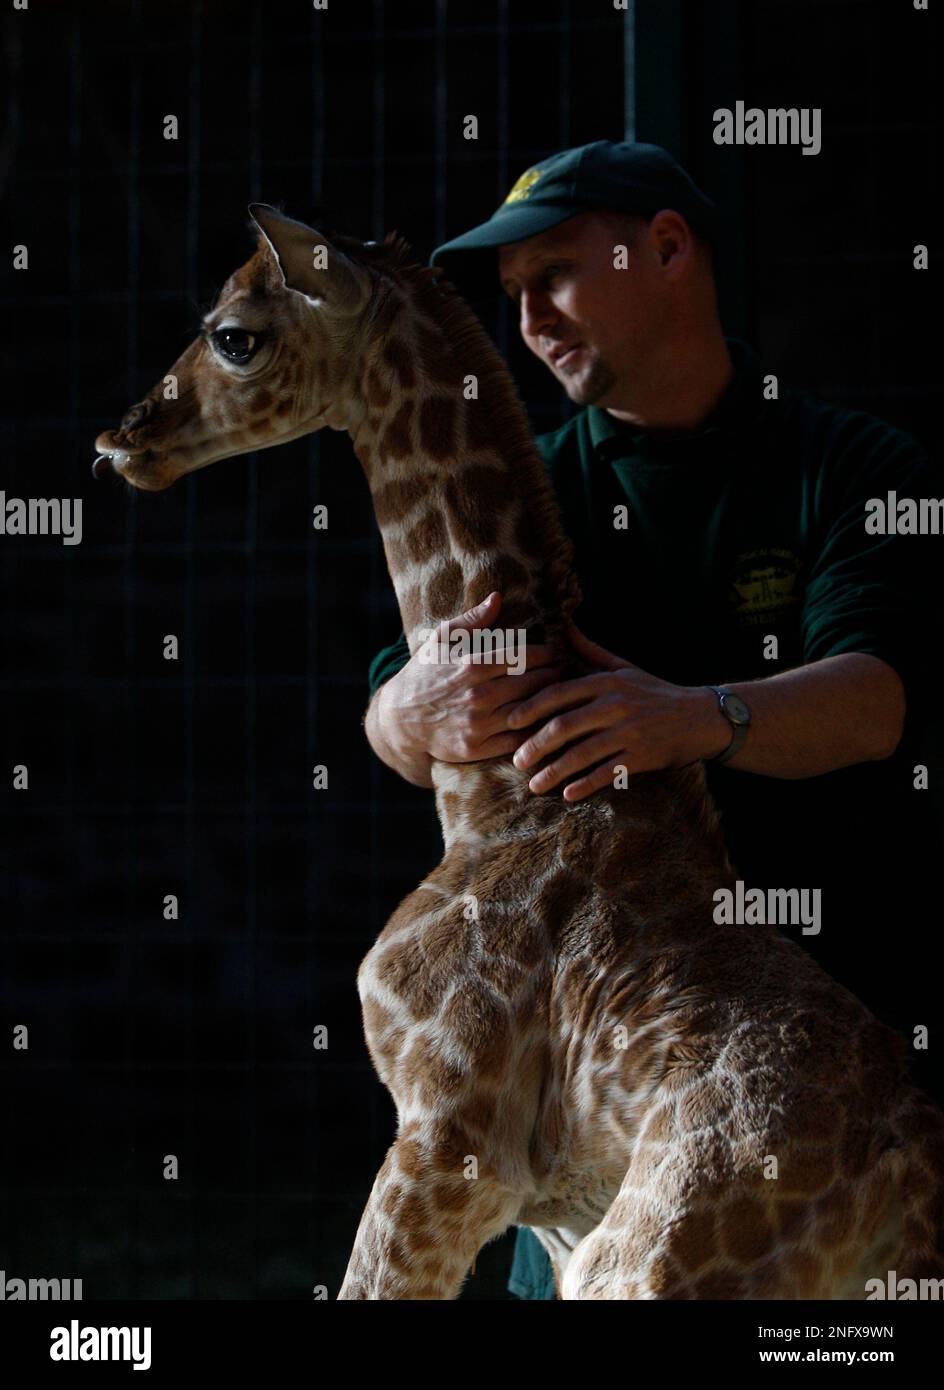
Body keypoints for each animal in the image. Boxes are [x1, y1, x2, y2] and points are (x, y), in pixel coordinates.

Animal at [93, 205, 944, 1300]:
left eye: (234, 334)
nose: (119, 441)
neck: (494, 795)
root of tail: (910, 1164)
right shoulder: (550, 1215)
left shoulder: (450, 1136)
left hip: (654, 1257)